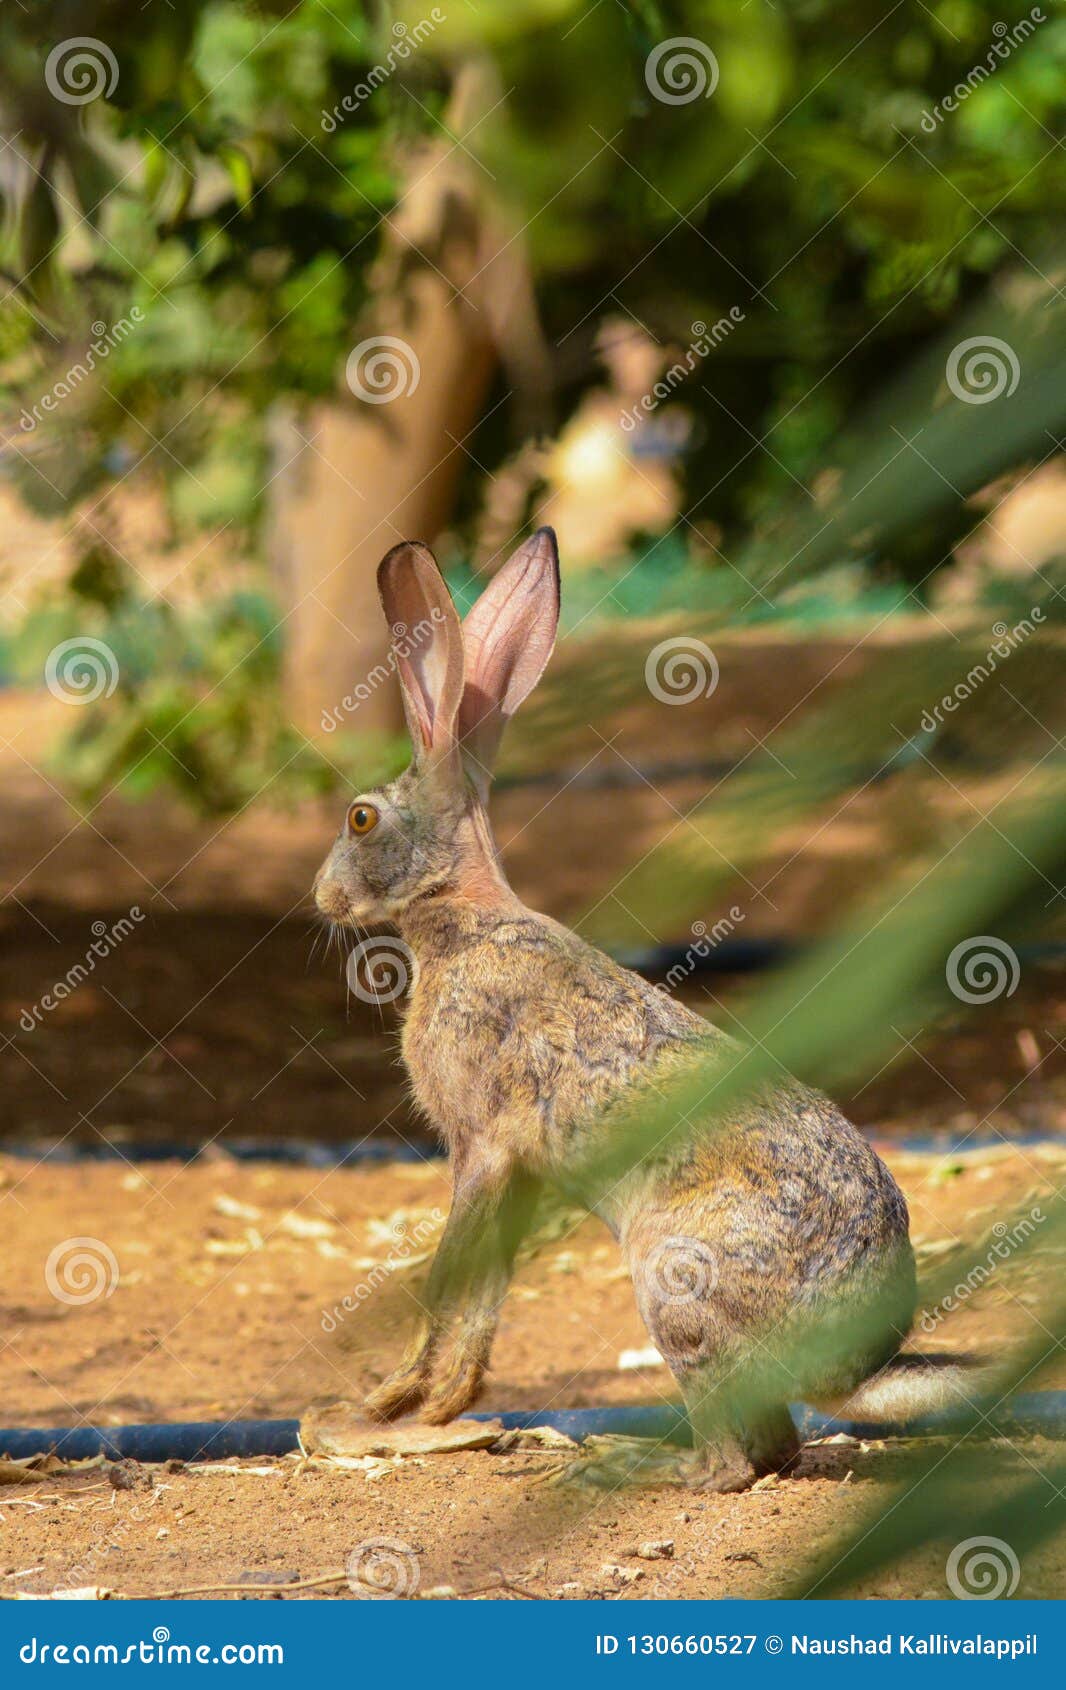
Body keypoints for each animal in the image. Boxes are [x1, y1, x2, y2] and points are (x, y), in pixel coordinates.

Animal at [313, 528, 975, 1491]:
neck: (463, 912)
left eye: (361, 819)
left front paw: (393, 1403)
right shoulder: (516, 1171)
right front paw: (434, 1408)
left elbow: (447, 1283)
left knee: (736, 1462)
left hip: (671, 1275)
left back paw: (621, 1466)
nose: (320, 896)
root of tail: (855, 1366)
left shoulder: (482, 1146)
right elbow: (483, 1299)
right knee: (776, 1447)